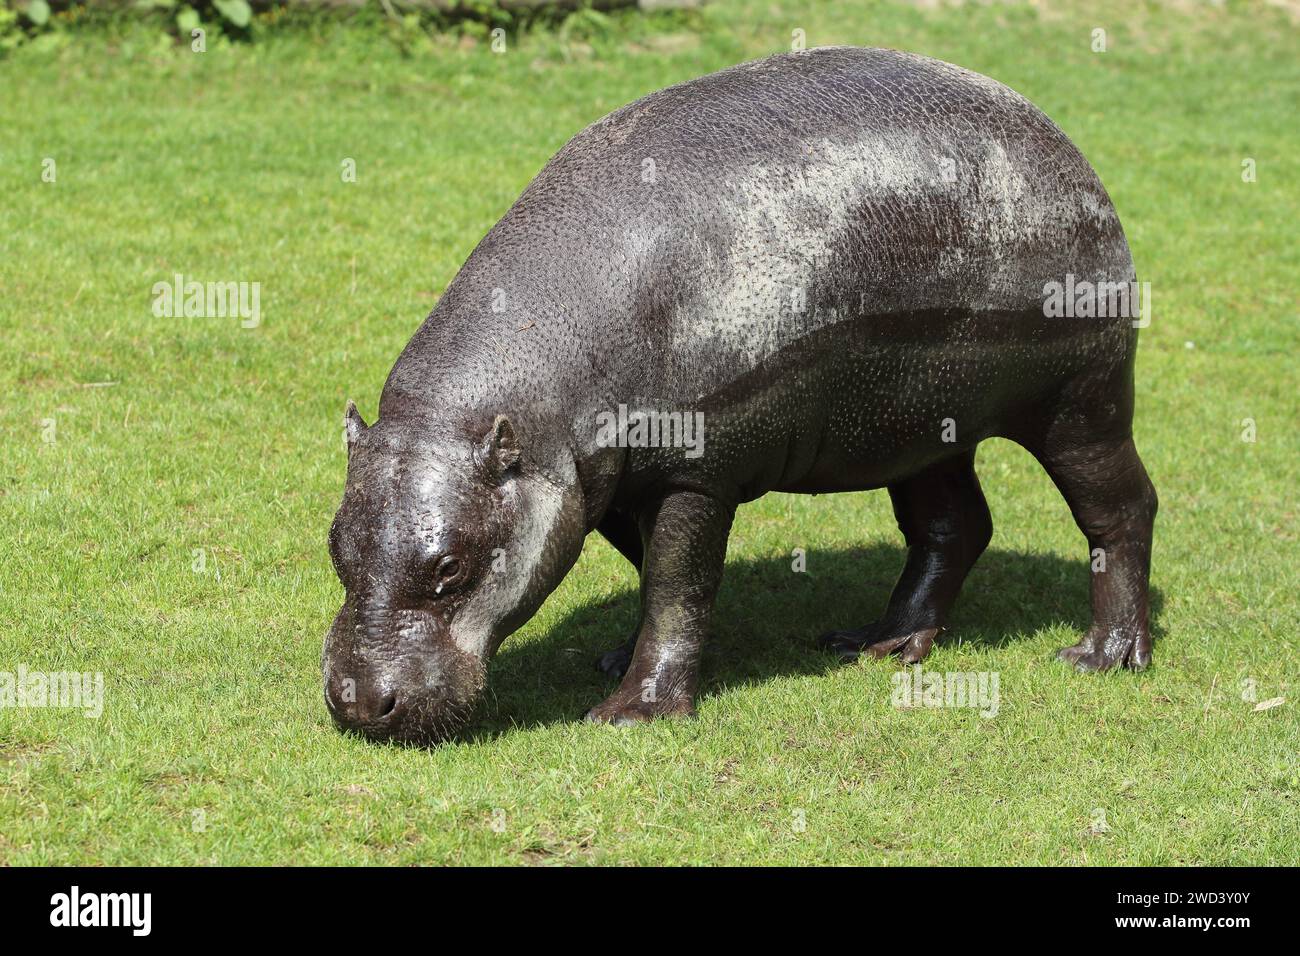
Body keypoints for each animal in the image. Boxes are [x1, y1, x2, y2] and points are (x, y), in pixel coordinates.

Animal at [322, 46, 1157, 744]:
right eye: (335, 547)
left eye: (450, 567)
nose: (359, 703)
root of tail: (1064, 143)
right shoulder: (611, 481)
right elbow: (656, 575)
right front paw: (623, 658)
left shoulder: (695, 475)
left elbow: (675, 581)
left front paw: (632, 712)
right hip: (921, 427)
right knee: (954, 525)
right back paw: (881, 643)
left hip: (1080, 401)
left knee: (1120, 508)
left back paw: (1103, 655)